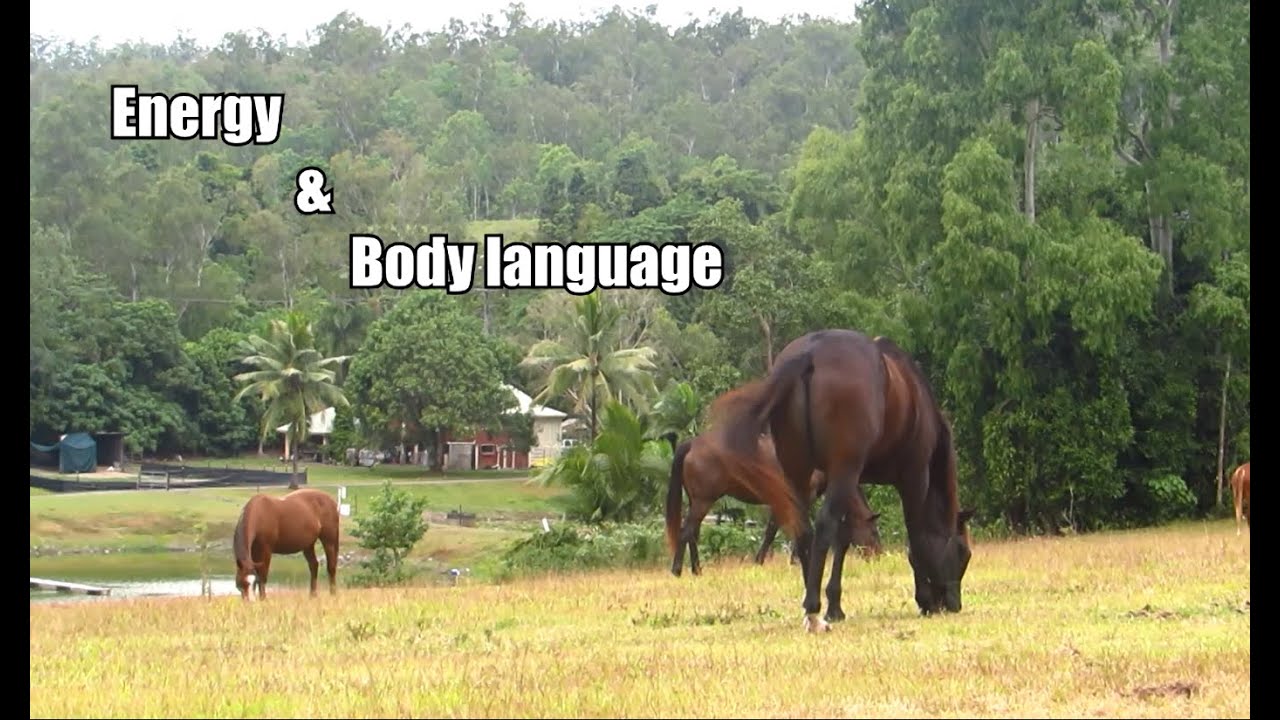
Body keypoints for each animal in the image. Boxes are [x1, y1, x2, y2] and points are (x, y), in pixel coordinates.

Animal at [664, 431, 882, 581]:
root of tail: (692, 444)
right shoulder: (802, 497)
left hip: (697, 502)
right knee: (686, 532)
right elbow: (788, 529)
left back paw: (696, 570)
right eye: (873, 532)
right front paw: (784, 560)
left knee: (692, 534)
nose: (879, 556)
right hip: (703, 501)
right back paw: (677, 571)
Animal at [709, 329, 975, 633]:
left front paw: (835, 605)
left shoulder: (851, 483)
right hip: (842, 470)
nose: (954, 604)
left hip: (798, 470)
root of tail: (810, 353)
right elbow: (915, 535)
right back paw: (813, 611)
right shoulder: (913, 476)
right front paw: (925, 599)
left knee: (804, 529)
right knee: (823, 525)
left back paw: (810, 602)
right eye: (963, 552)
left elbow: (844, 537)